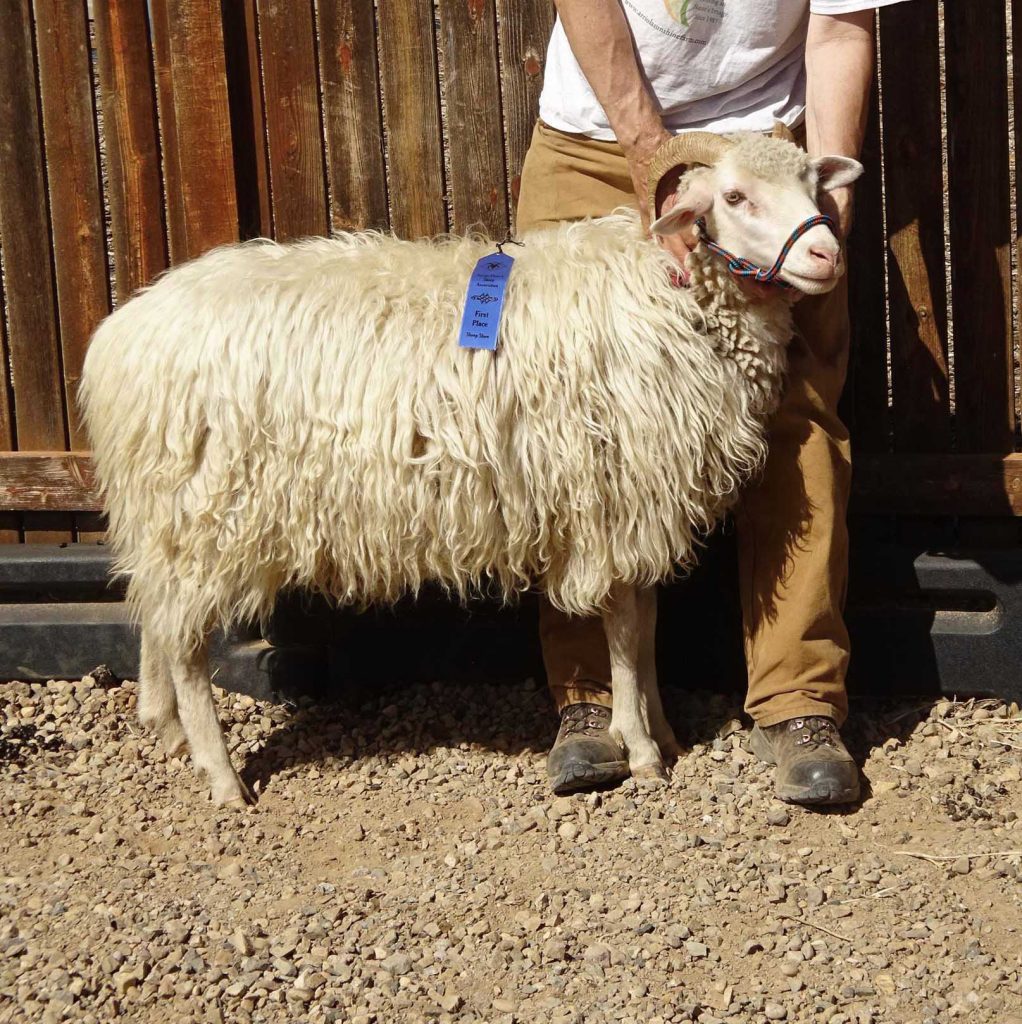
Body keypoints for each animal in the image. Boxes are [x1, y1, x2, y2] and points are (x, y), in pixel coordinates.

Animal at [81, 130, 862, 807]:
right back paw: (220, 775)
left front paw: (663, 731)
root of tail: (121, 335)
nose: (827, 255)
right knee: (185, 645)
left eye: (811, 183)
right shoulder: (615, 501)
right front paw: (639, 748)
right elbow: (622, 629)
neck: (663, 290)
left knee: (157, 619)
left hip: (169, 516)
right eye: (734, 197)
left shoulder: (637, 503)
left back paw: (166, 730)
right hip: (206, 513)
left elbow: (643, 625)